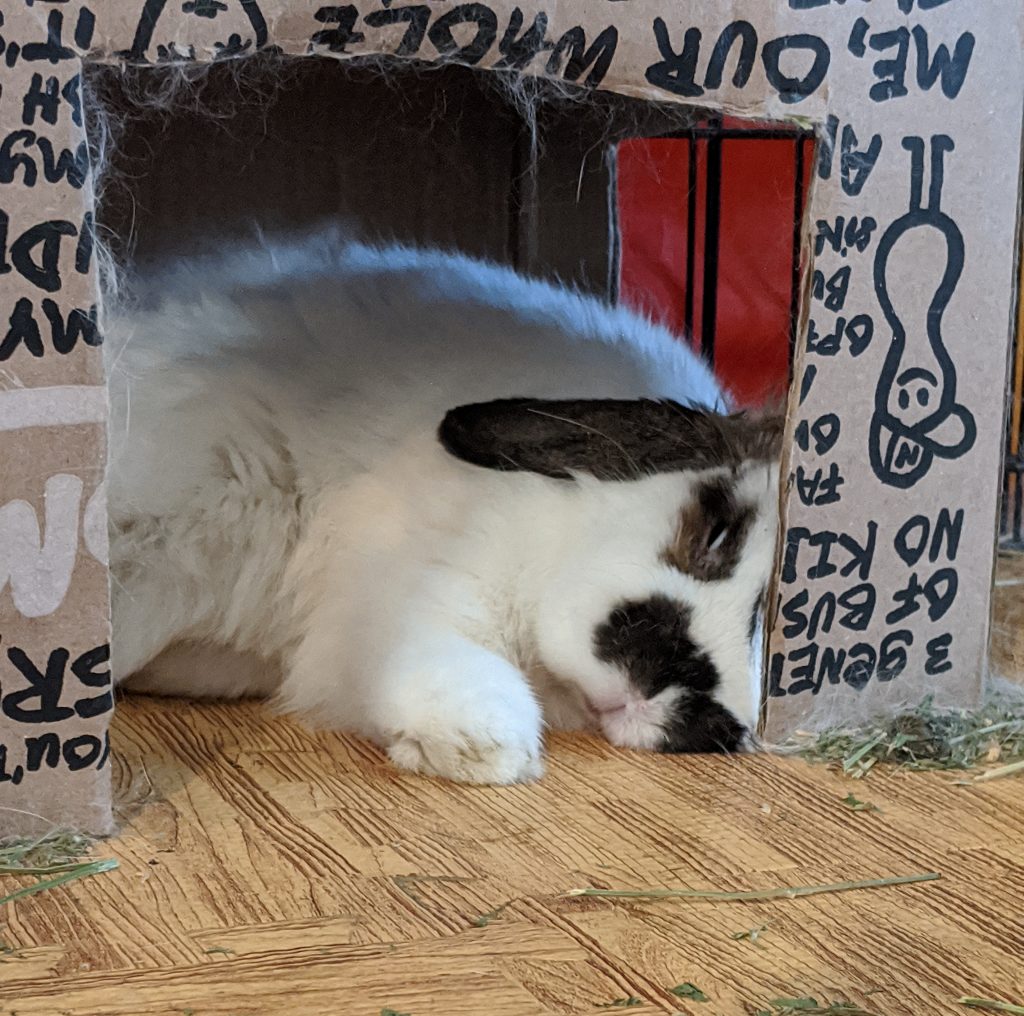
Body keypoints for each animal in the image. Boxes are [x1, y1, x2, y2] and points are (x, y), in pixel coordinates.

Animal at [103, 225, 783, 785]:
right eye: (717, 531)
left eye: (734, 727)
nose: (659, 688)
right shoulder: (431, 583)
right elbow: (435, 652)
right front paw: (483, 740)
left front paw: (473, 748)